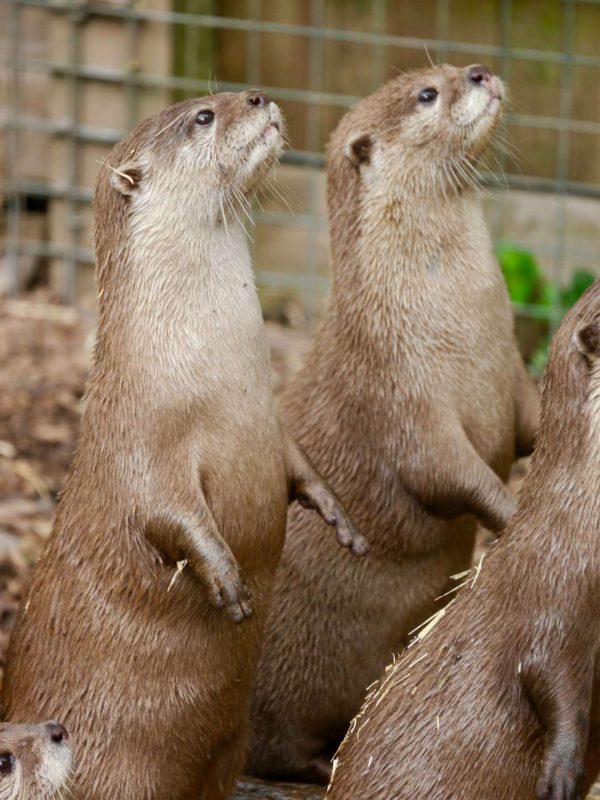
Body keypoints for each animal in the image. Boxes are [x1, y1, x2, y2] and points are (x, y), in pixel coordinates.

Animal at [2, 92, 366, 800]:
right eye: (202, 116)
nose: (257, 95)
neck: (207, 372)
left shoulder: (268, 420)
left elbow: (299, 466)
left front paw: (339, 516)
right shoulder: (141, 440)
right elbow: (167, 511)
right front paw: (227, 580)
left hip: (230, 750)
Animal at [249, 64, 539, 783]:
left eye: (453, 71)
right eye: (428, 95)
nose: (479, 72)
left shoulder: (508, 373)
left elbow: (530, 424)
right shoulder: (400, 394)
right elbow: (447, 473)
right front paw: (516, 515)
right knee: (274, 749)